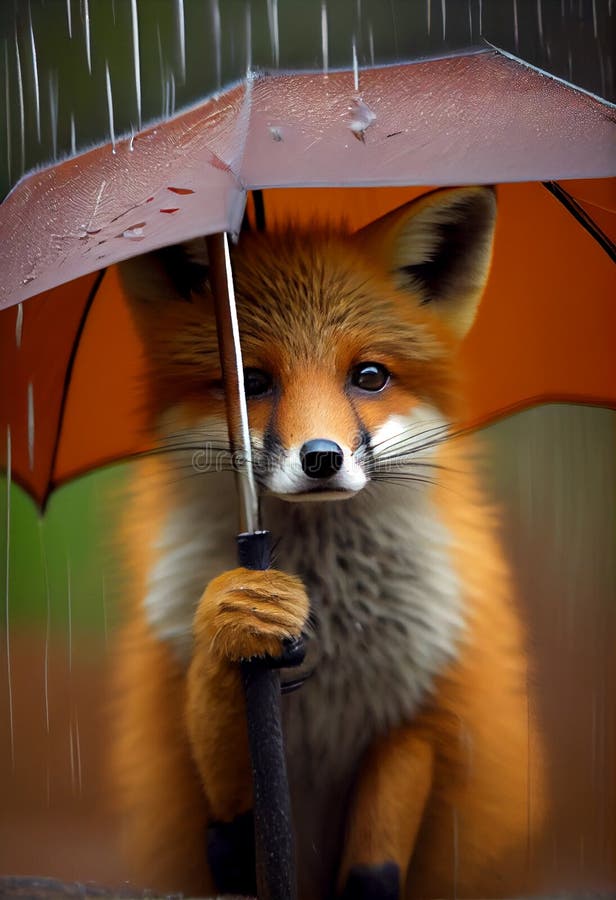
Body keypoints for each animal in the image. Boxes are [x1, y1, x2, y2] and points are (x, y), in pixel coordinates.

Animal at [113, 186, 546, 900]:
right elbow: (235, 838)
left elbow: (374, 867)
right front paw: (243, 613)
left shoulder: (421, 704)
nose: (321, 458)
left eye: (368, 376)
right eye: (251, 383)